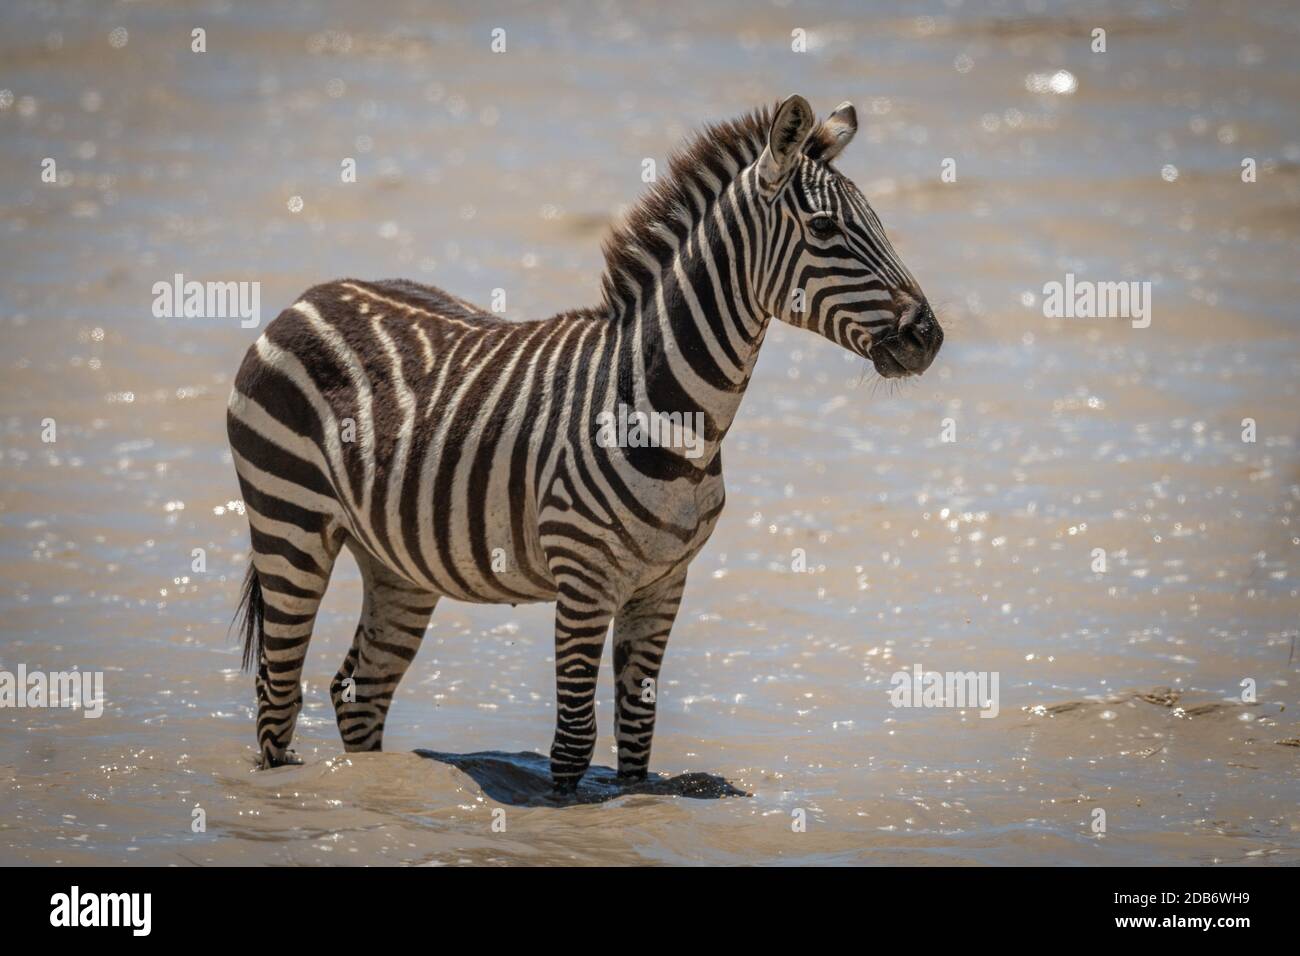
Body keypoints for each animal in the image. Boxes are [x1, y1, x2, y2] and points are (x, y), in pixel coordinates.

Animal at [227, 95, 943, 791]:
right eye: (824, 230)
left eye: (878, 221)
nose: (928, 337)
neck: (674, 420)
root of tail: (307, 298)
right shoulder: (582, 578)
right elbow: (573, 740)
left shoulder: (665, 582)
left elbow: (638, 729)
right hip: (289, 523)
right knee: (277, 695)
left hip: (395, 560)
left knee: (358, 690)